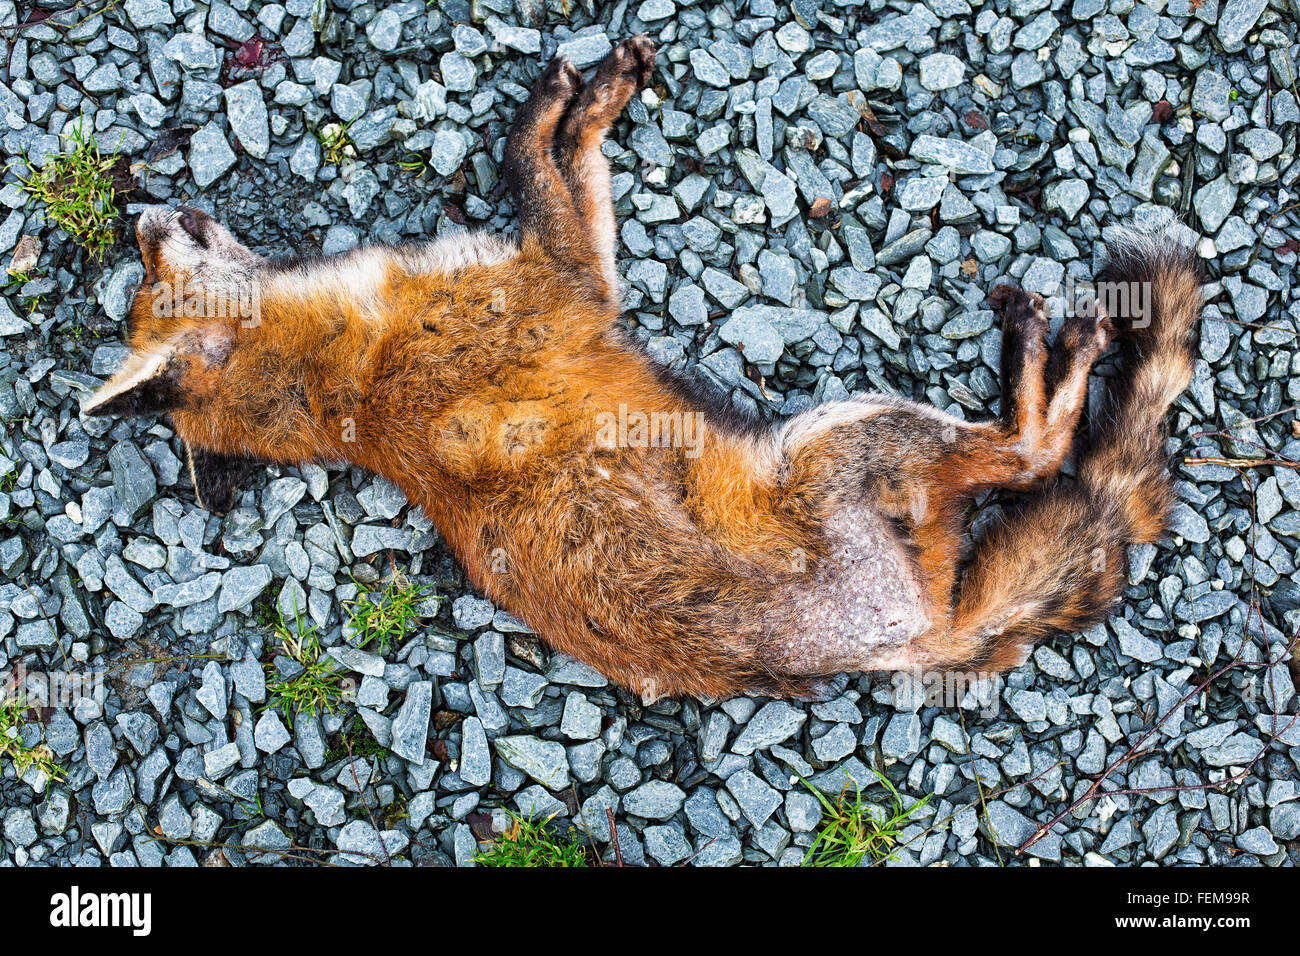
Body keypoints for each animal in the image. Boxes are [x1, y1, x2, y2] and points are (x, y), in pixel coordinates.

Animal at [83, 37, 1203, 703]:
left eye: (144, 270)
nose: (140, 208)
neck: (346, 374)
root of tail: (914, 639)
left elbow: (552, 159)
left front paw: (577, 95)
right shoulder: (567, 275)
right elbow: (536, 159)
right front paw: (574, 100)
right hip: (849, 436)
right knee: (1031, 455)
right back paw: (1050, 347)